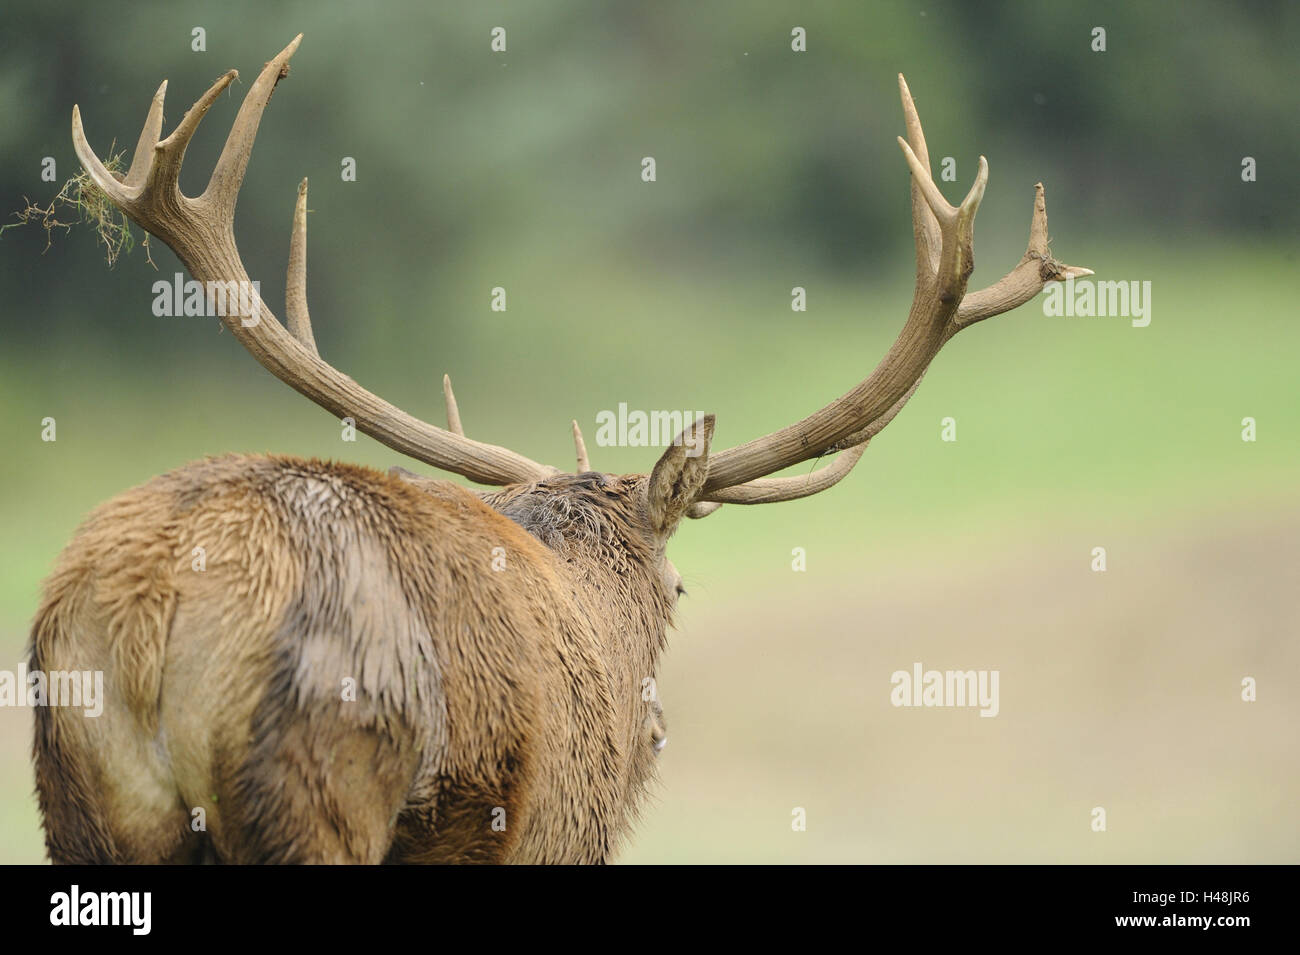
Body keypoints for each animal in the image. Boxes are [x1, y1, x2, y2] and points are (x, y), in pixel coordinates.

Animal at [30, 36, 1089, 864]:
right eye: (681, 588)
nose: (653, 732)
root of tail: (155, 607)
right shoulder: (556, 830)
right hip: (322, 782)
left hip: (78, 802)